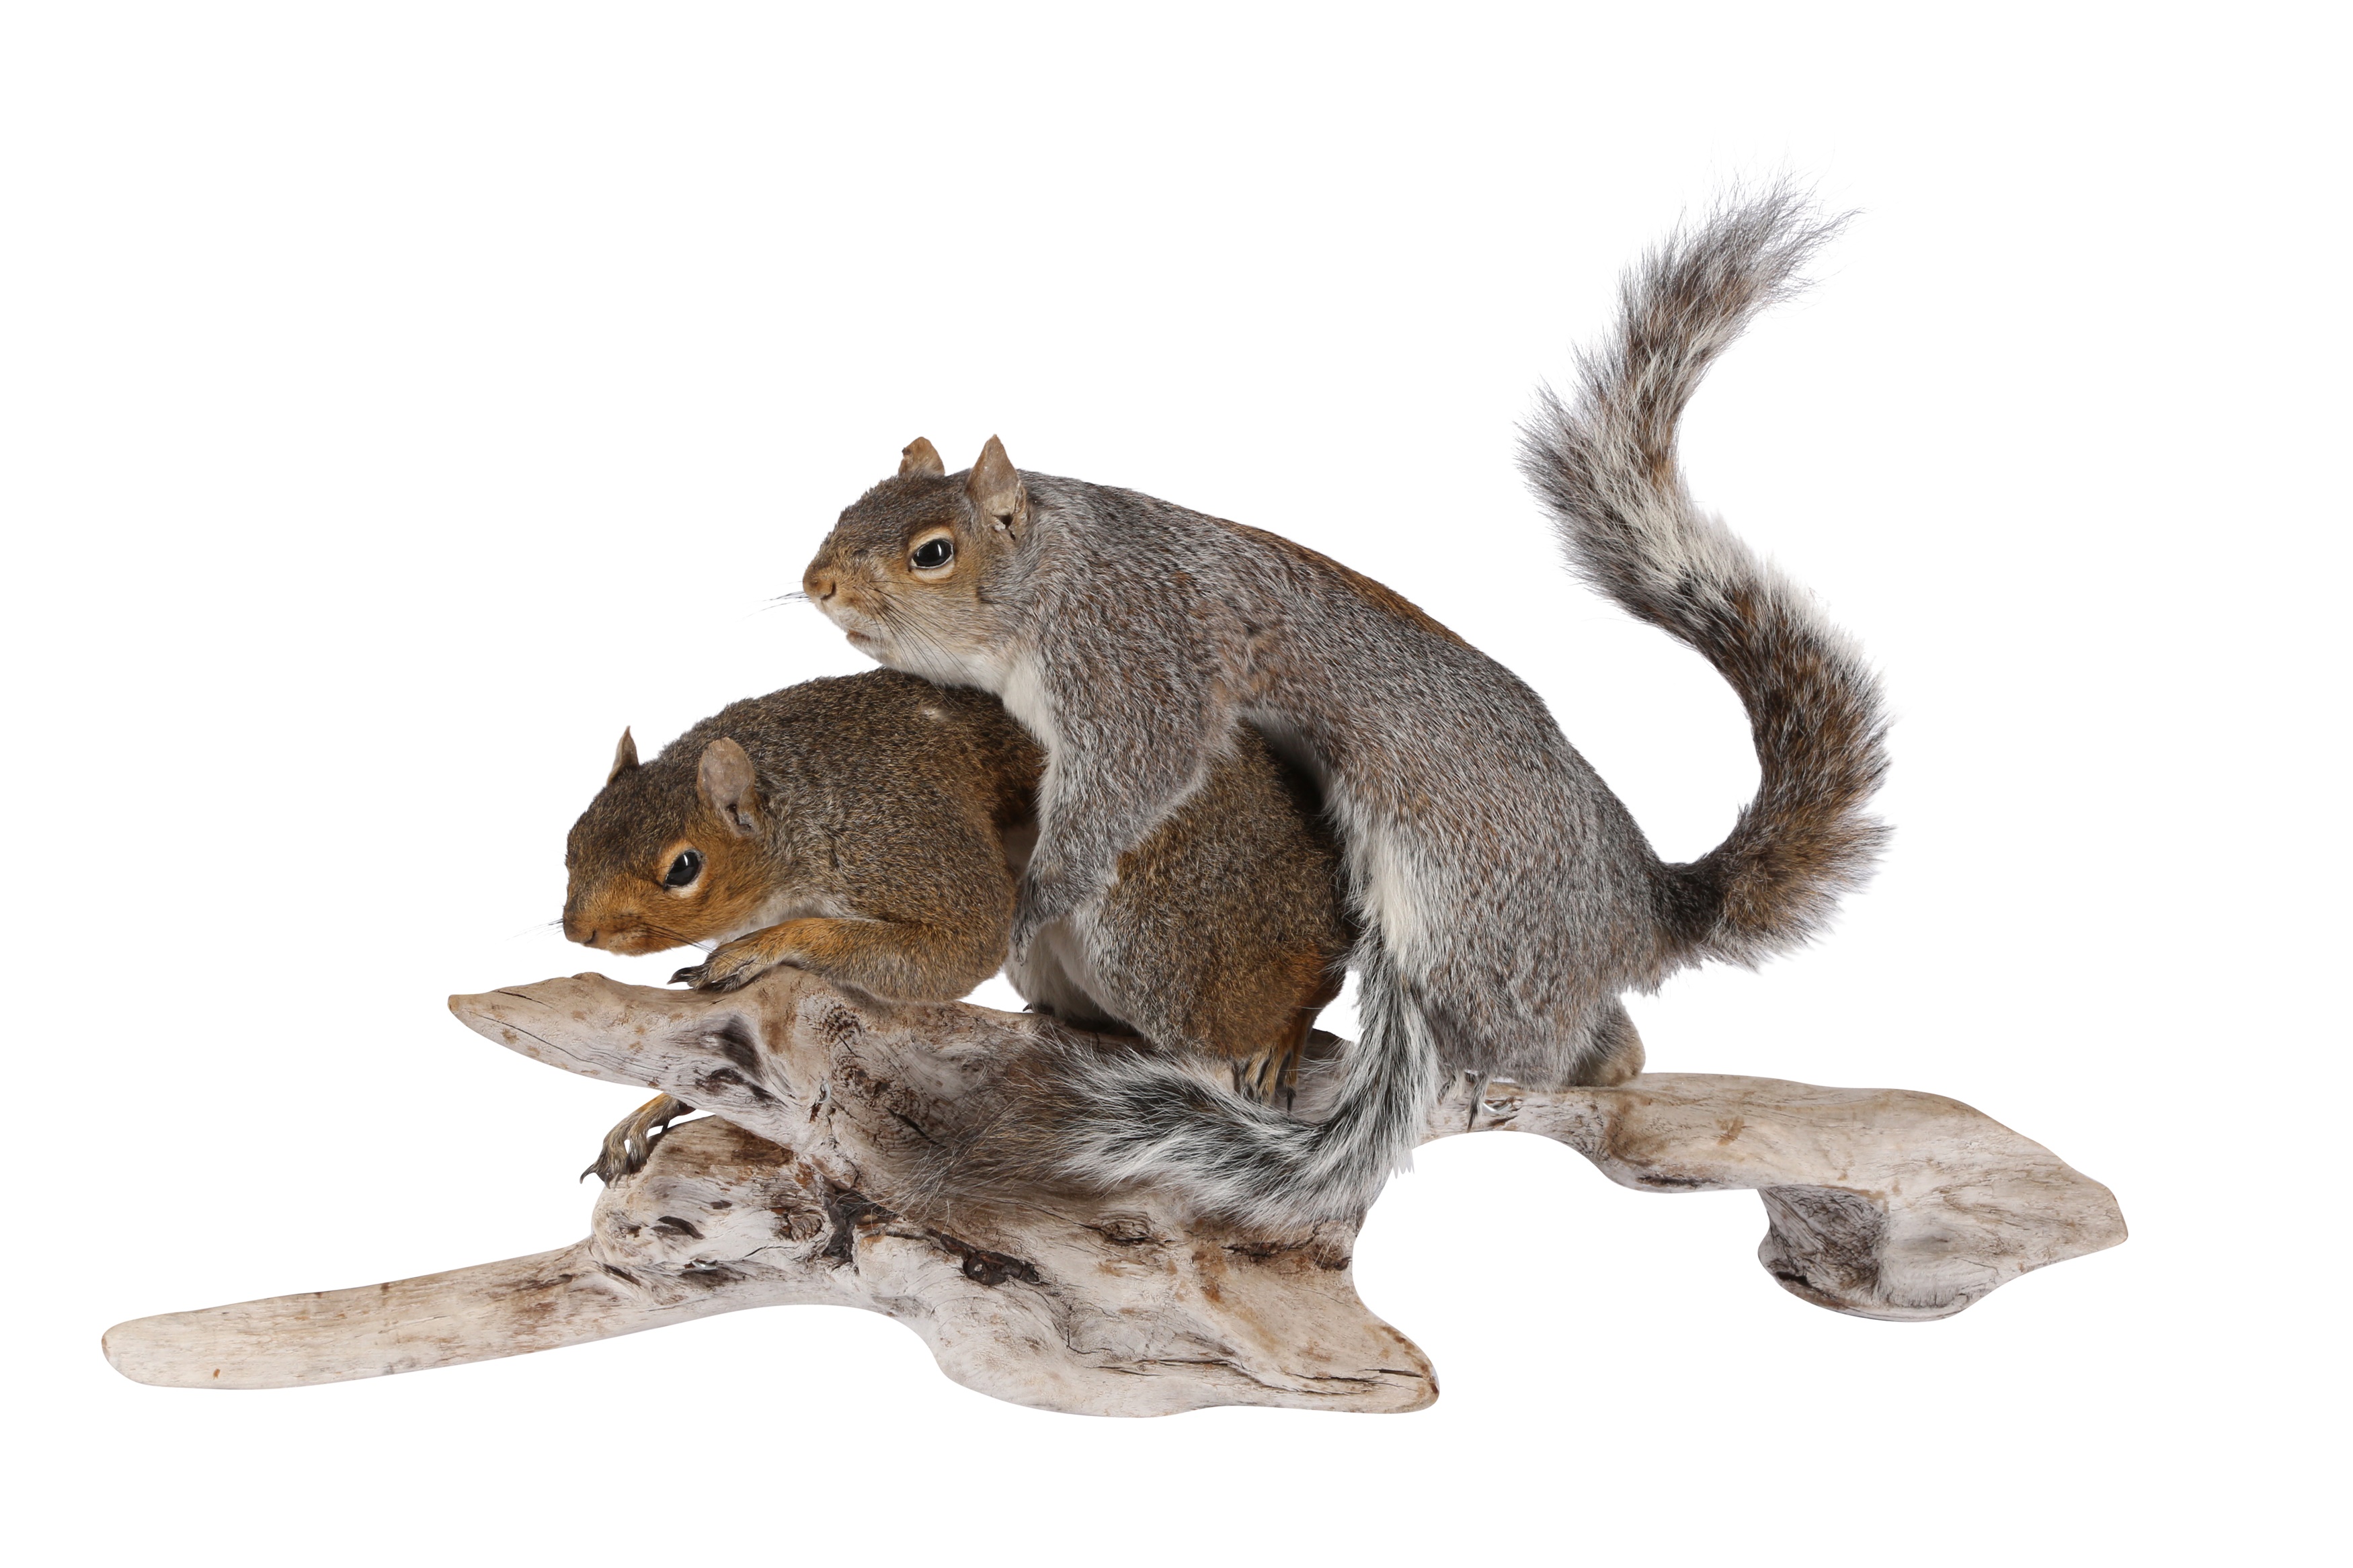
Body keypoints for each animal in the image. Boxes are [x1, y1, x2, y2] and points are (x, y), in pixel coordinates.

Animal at [561, 668, 1352, 1179]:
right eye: (575, 836)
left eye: (683, 866)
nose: (579, 931)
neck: (804, 801)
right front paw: (654, 1104)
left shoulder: (905, 832)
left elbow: (960, 941)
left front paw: (759, 947)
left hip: (1160, 938)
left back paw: (1284, 1030)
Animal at [798, 188, 1891, 1230]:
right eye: (848, 509)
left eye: (933, 552)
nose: (816, 585)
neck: (1059, 570)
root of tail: (1644, 907)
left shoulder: (1134, 665)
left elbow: (1127, 787)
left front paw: (1032, 899)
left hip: (1472, 933)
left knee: (1583, 1042)